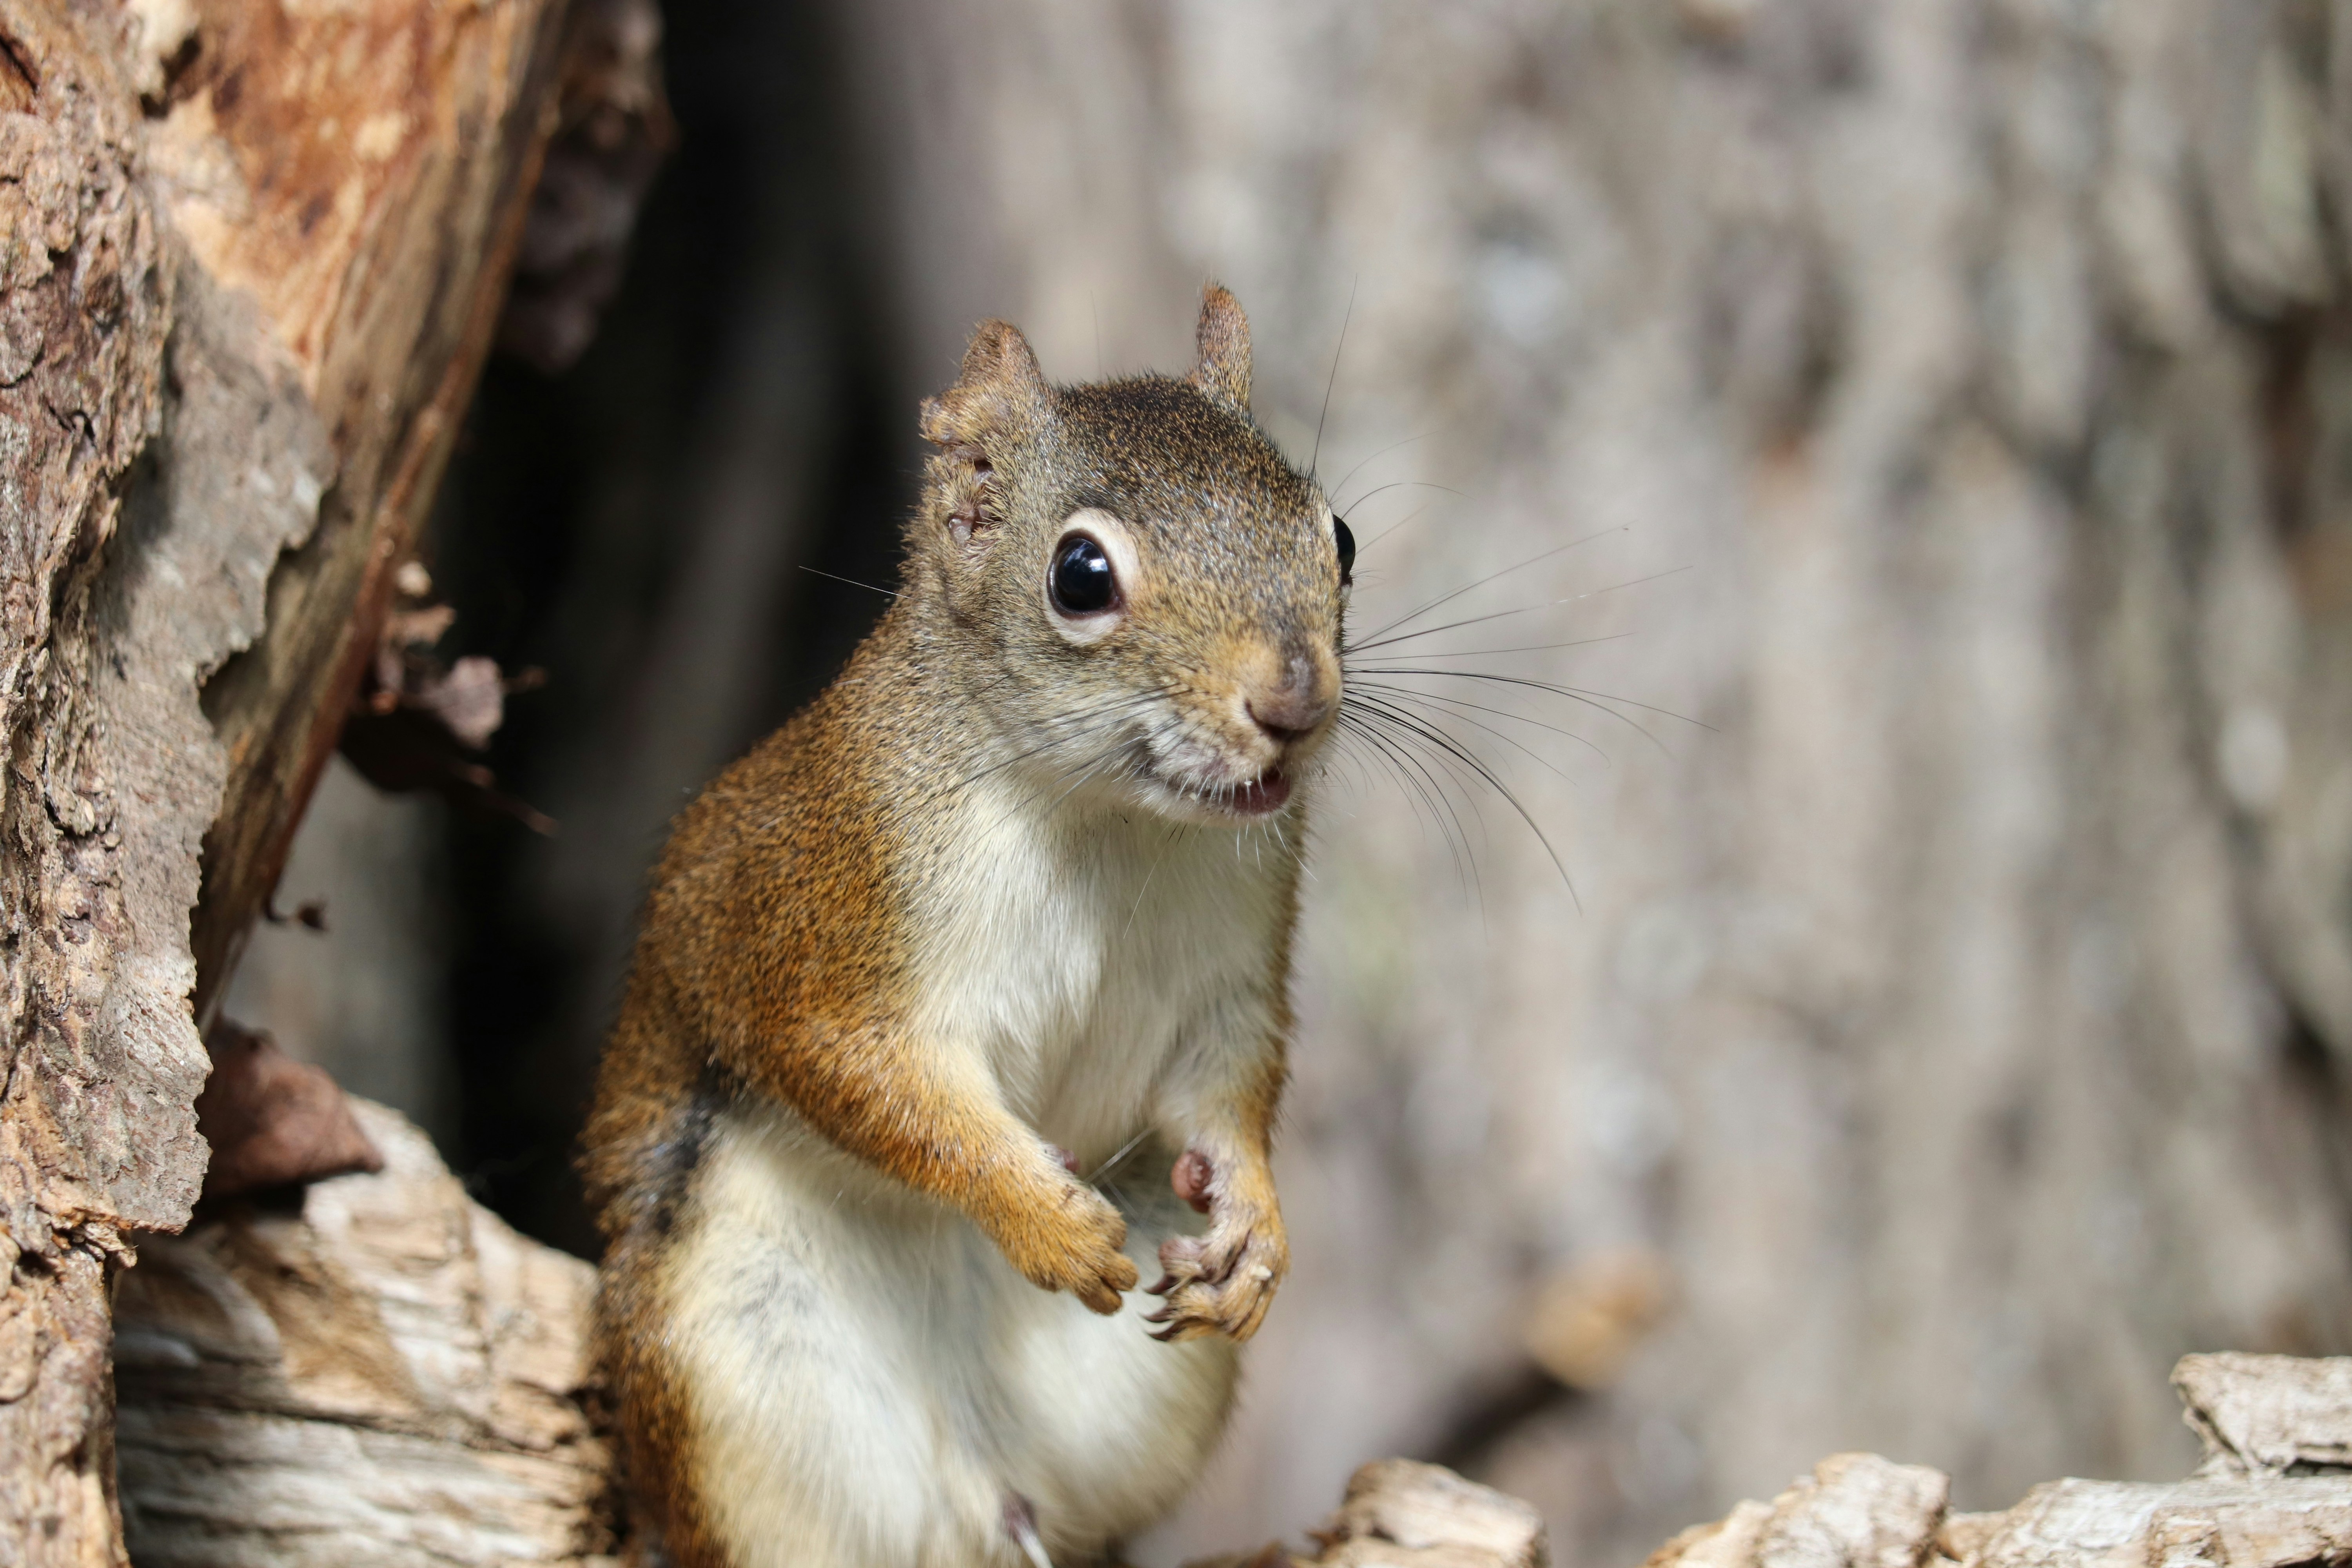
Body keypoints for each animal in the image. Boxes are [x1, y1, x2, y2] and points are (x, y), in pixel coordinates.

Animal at [581, 285, 1355, 1568]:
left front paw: (1260, 1227)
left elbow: (1230, 1087)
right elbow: (869, 1083)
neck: (1107, 824)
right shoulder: (829, 932)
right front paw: (1039, 1216)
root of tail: (967, 1493)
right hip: (732, 1364)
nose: (1295, 703)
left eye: (1337, 538)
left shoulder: (1230, 975)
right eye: (1080, 575)